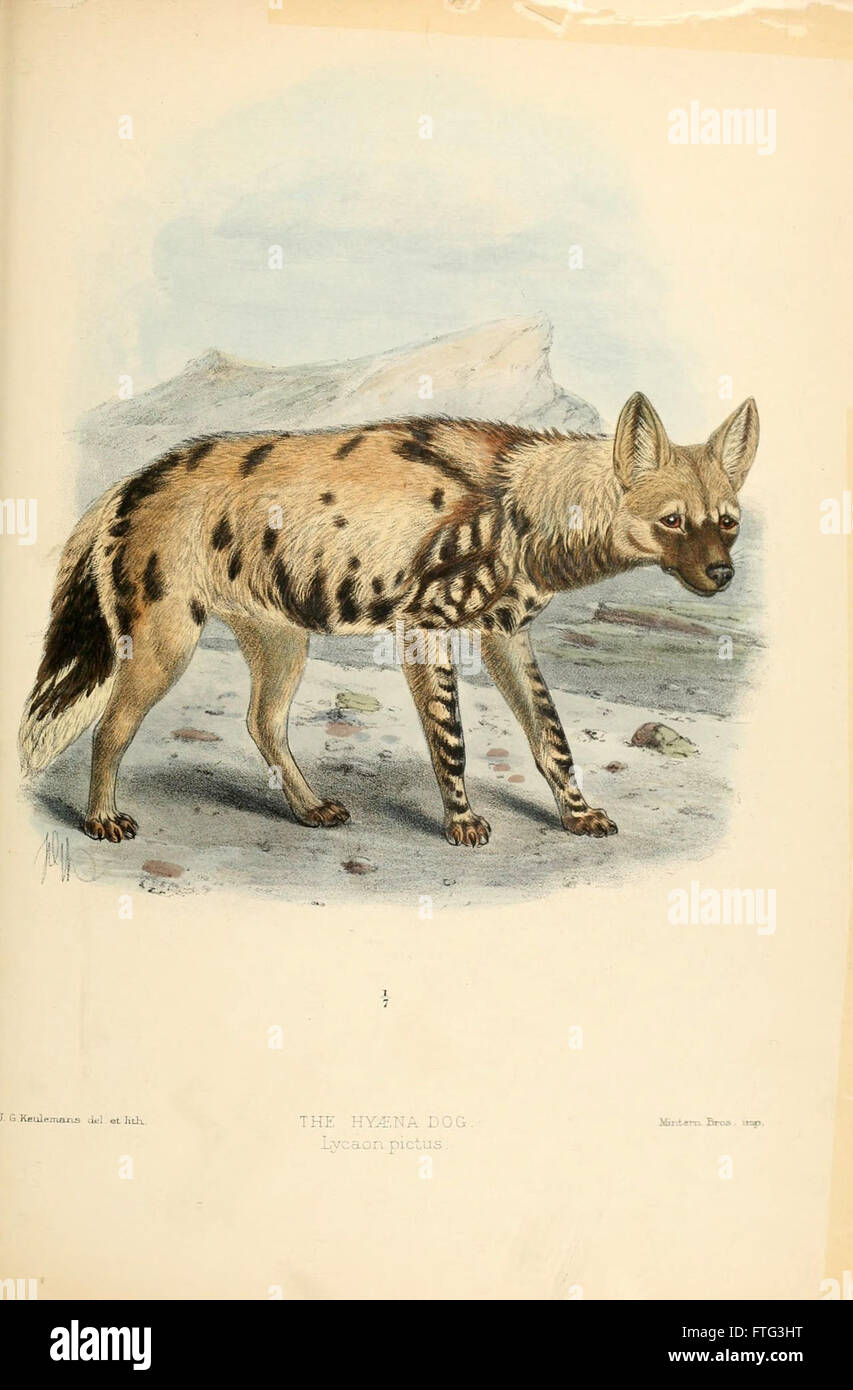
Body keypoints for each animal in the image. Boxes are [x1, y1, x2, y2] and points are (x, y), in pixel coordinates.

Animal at [19, 391, 758, 848]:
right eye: (672, 521)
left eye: (726, 522)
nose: (723, 575)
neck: (527, 510)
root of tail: (135, 479)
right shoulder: (426, 628)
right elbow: (452, 743)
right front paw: (462, 825)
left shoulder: (504, 635)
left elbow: (551, 738)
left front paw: (576, 816)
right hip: (166, 644)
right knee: (111, 727)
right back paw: (102, 818)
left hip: (282, 641)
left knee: (263, 723)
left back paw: (309, 809)